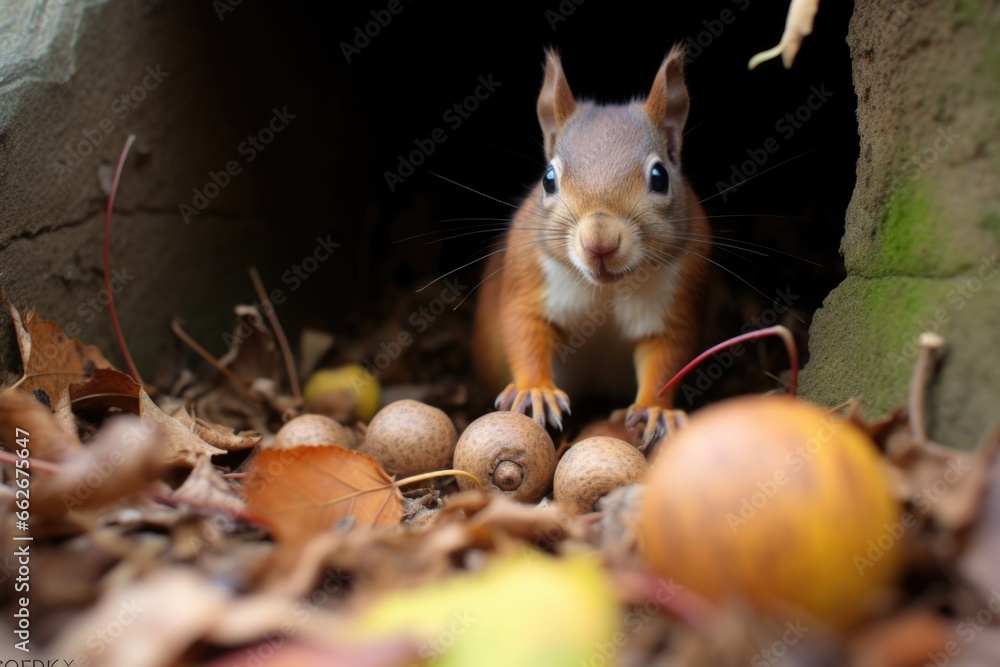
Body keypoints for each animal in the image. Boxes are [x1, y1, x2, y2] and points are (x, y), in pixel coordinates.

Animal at [472, 44, 711, 449]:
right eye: (548, 179)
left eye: (660, 176)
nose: (600, 242)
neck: (605, 291)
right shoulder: (527, 279)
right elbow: (523, 328)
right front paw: (536, 390)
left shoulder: (678, 296)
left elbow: (667, 354)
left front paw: (654, 410)